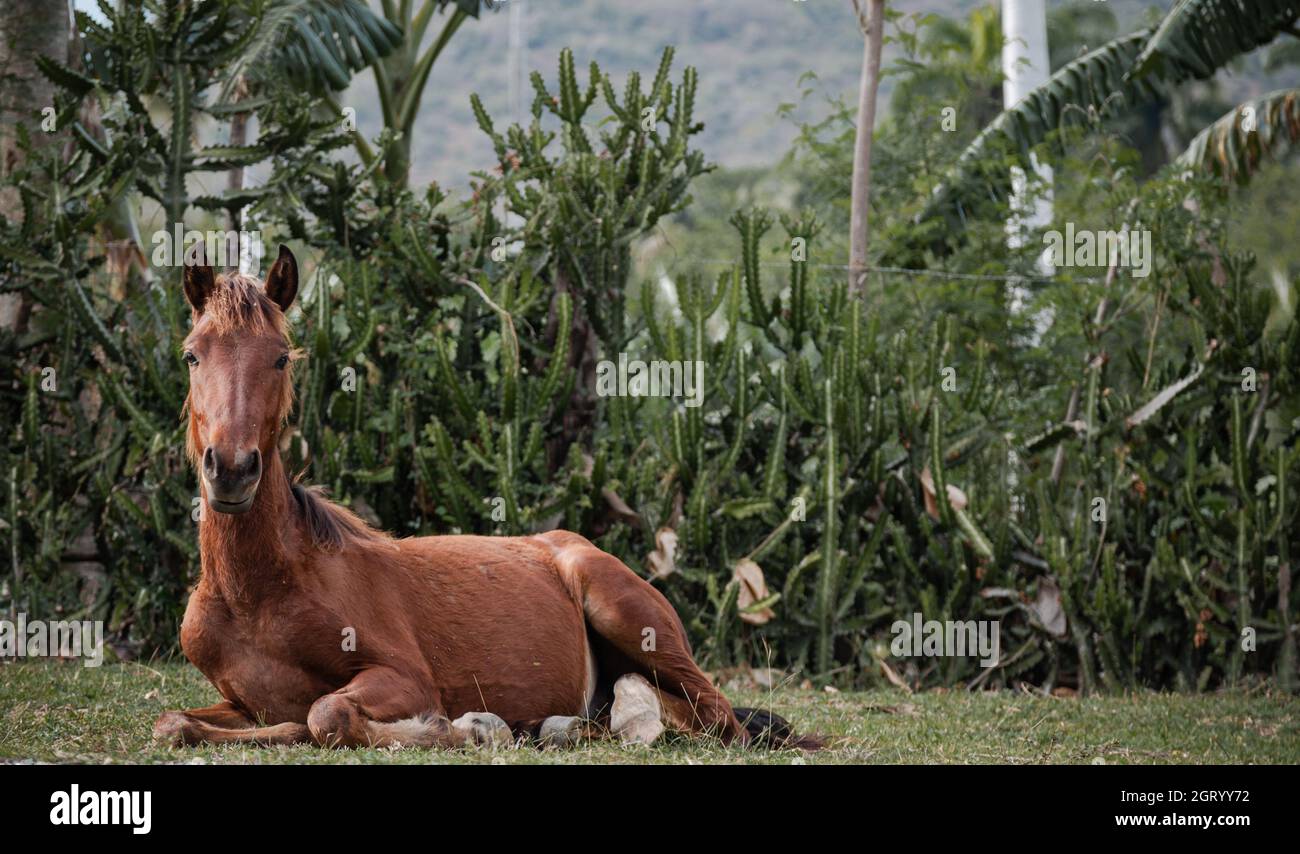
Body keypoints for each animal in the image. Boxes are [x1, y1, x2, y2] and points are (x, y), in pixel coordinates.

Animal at [153, 246, 808, 751]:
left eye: (281, 357)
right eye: (191, 354)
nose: (232, 470)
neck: (261, 595)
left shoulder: (405, 678)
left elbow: (325, 713)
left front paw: (466, 728)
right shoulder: (237, 702)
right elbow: (174, 723)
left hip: (629, 617)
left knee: (716, 720)